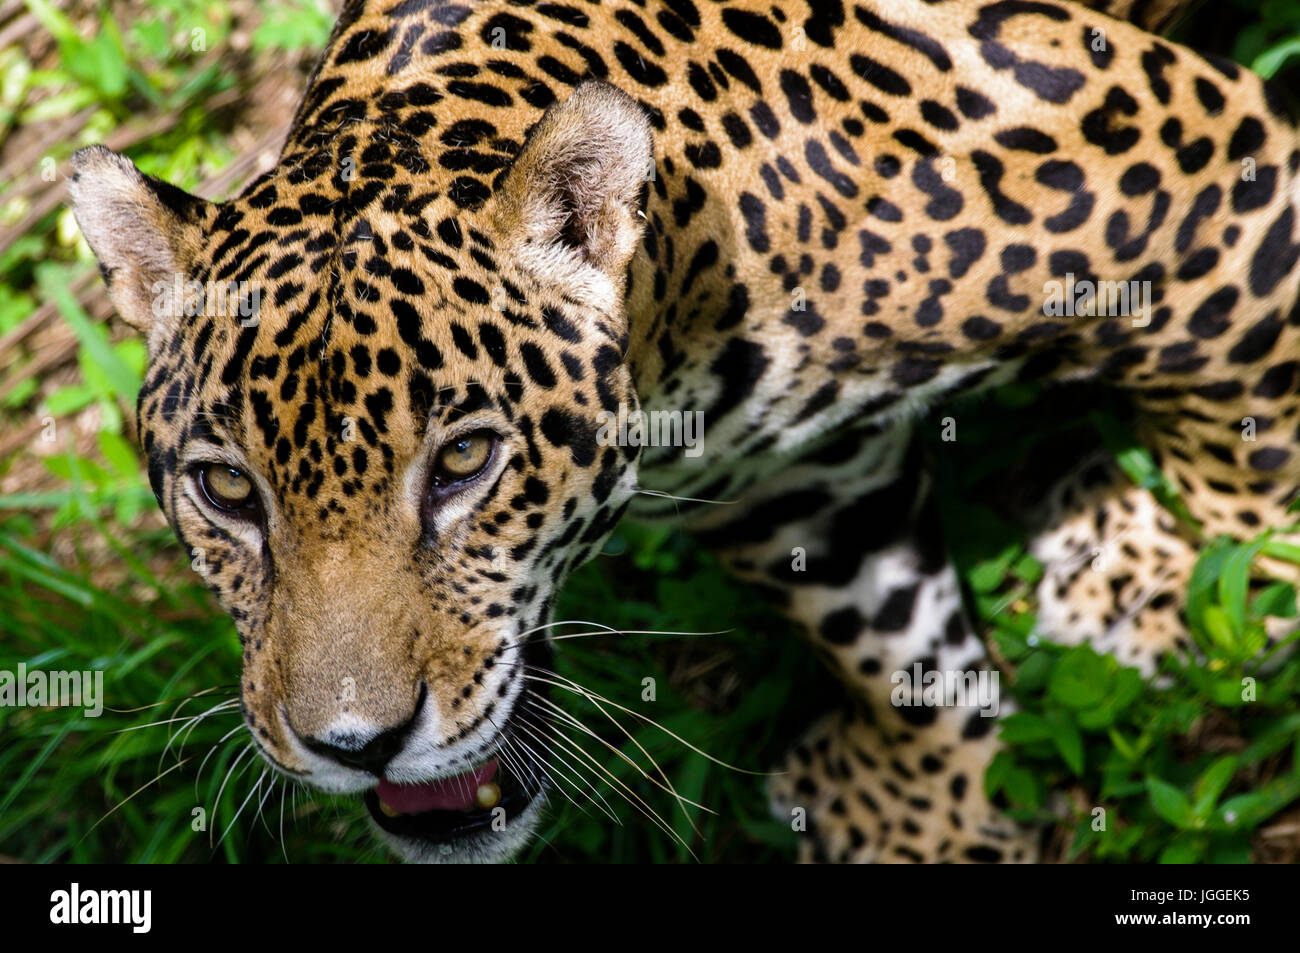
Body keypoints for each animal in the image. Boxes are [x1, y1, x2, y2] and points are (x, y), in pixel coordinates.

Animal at [67, 0, 1300, 863]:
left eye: (464, 462)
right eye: (228, 491)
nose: (355, 744)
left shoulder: (1219, 190)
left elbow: (1250, 439)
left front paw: (1182, 585)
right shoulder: (785, 470)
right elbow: (885, 627)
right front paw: (937, 796)